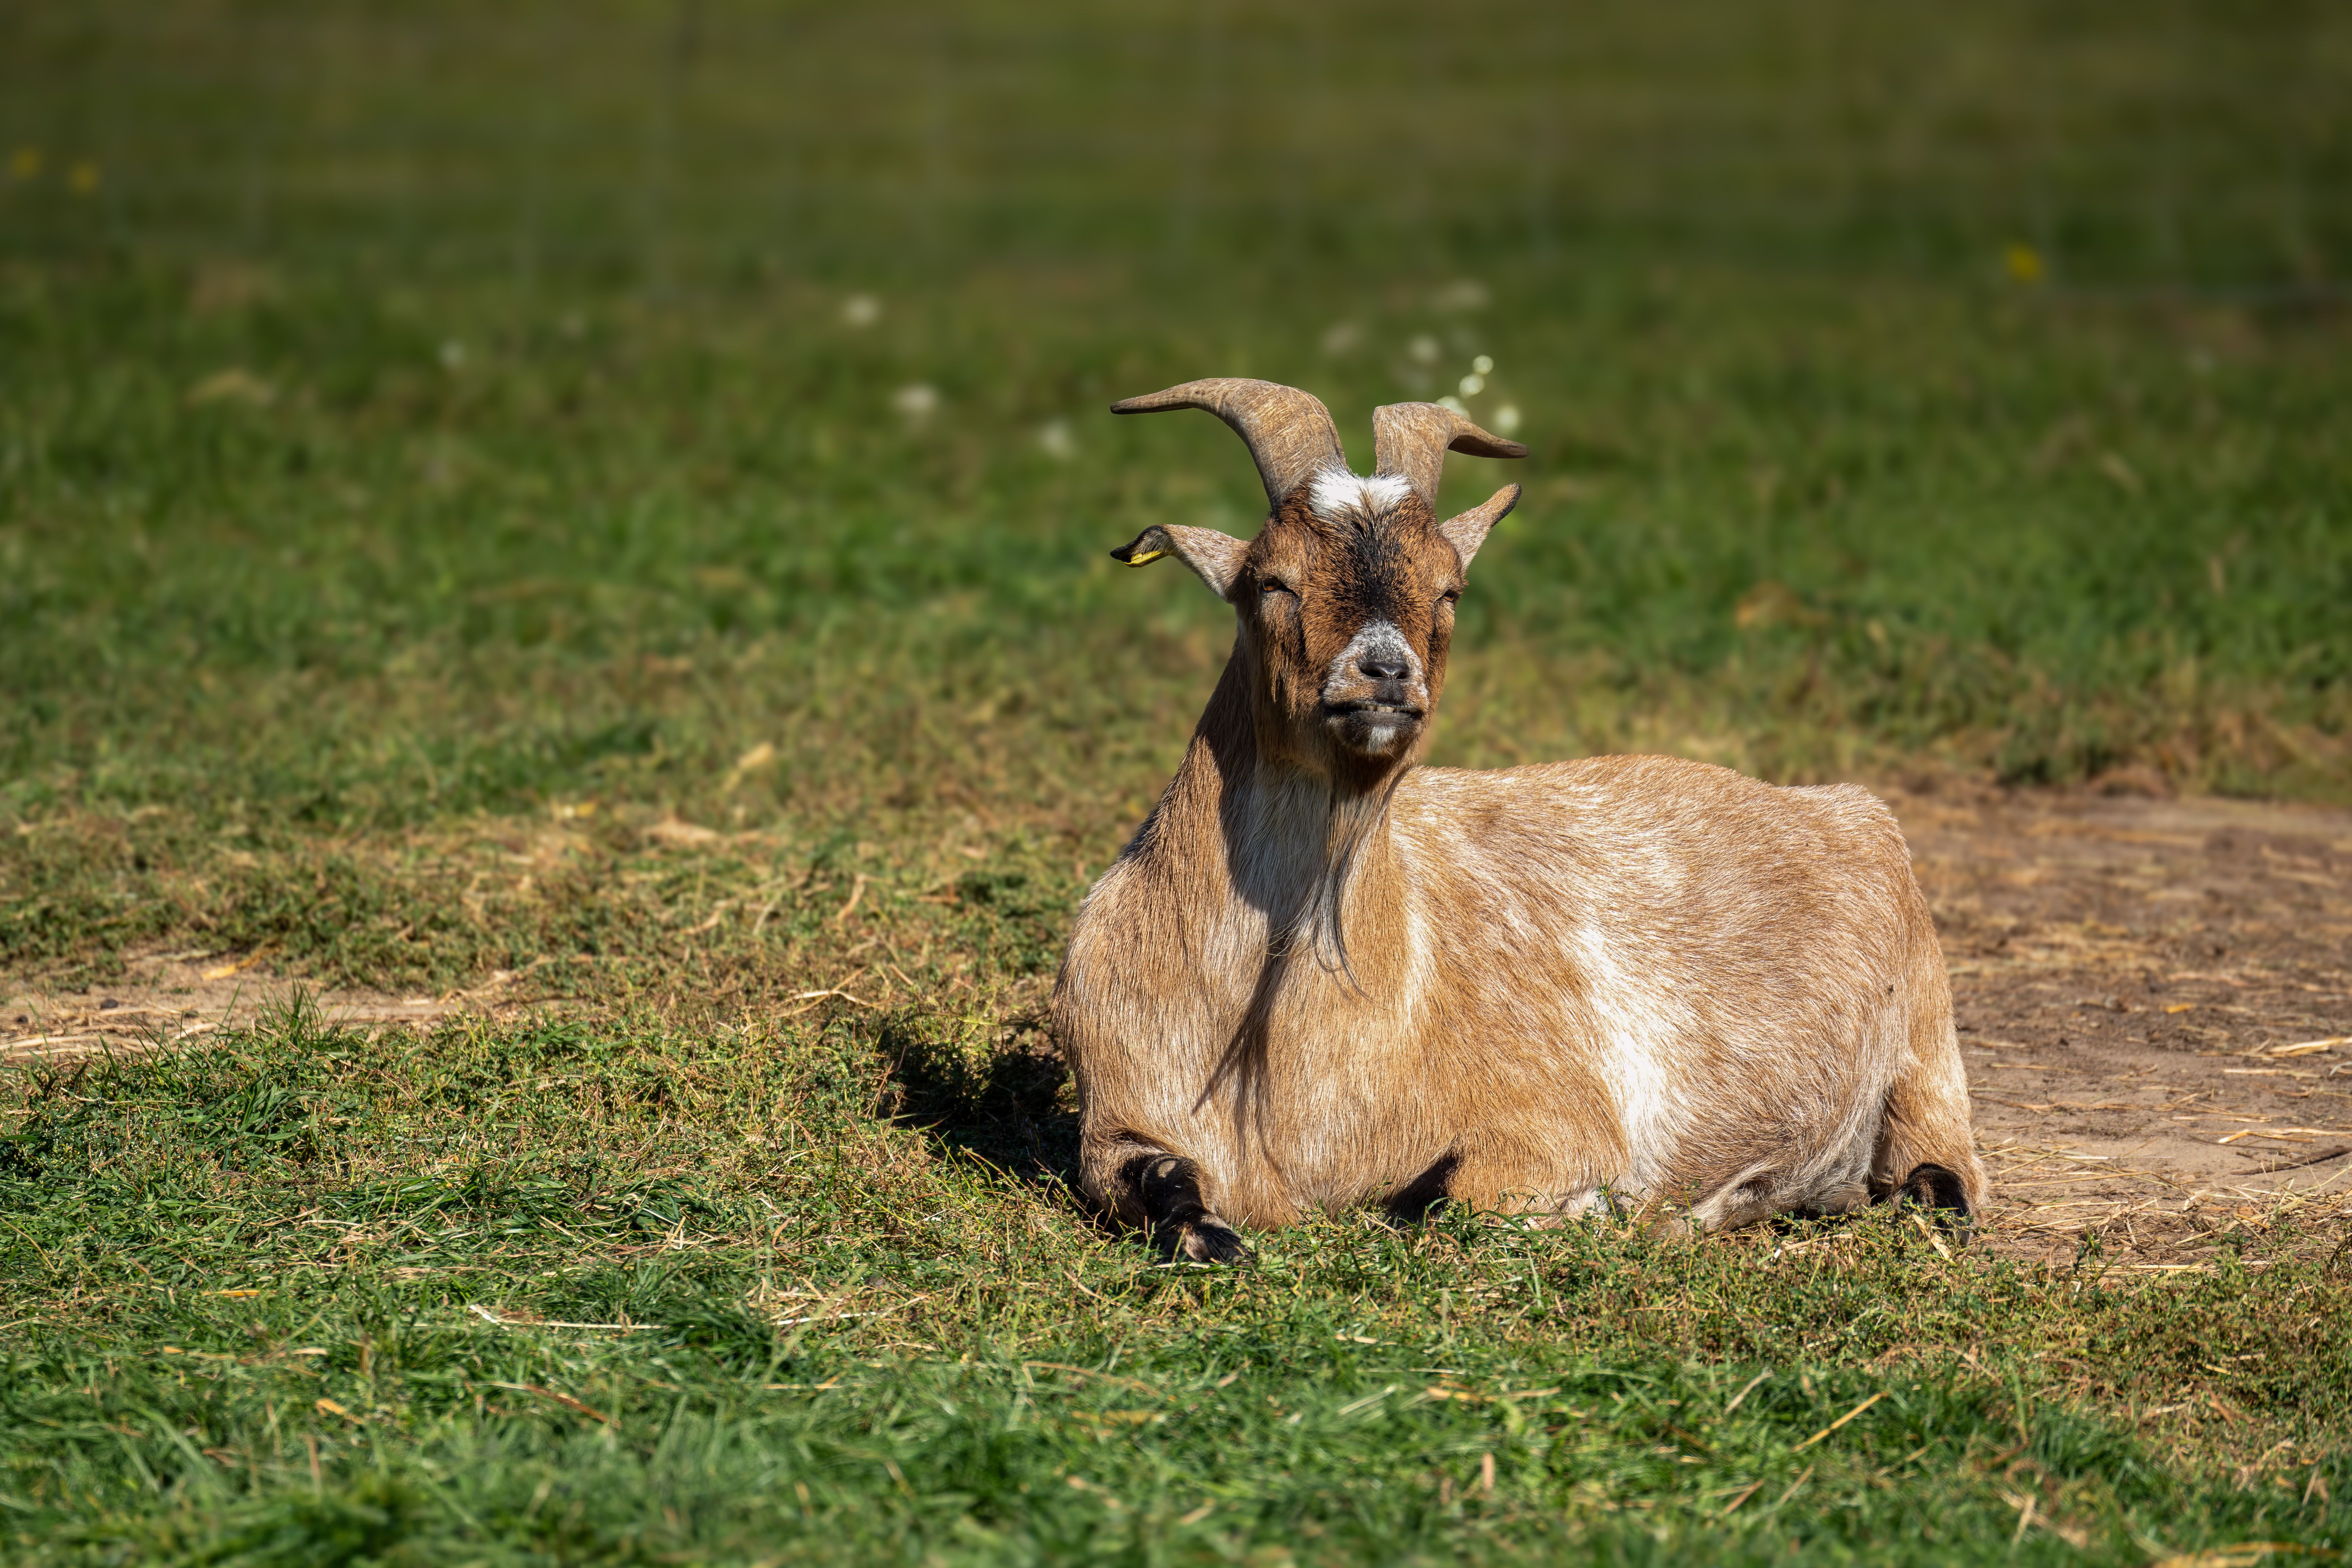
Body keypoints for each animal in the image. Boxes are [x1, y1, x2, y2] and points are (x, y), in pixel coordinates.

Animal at [1052, 378, 1985, 1262]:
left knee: (1943, 1177)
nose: (1386, 673)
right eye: (1272, 580)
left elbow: (1429, 1206)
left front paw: (1616, 1214)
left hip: (1924, 1055)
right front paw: (1210, 1236)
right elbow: (1153, 1181)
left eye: (1449, 589)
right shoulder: (1117, 1117)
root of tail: (1844, 806)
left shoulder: (1555, 1122)